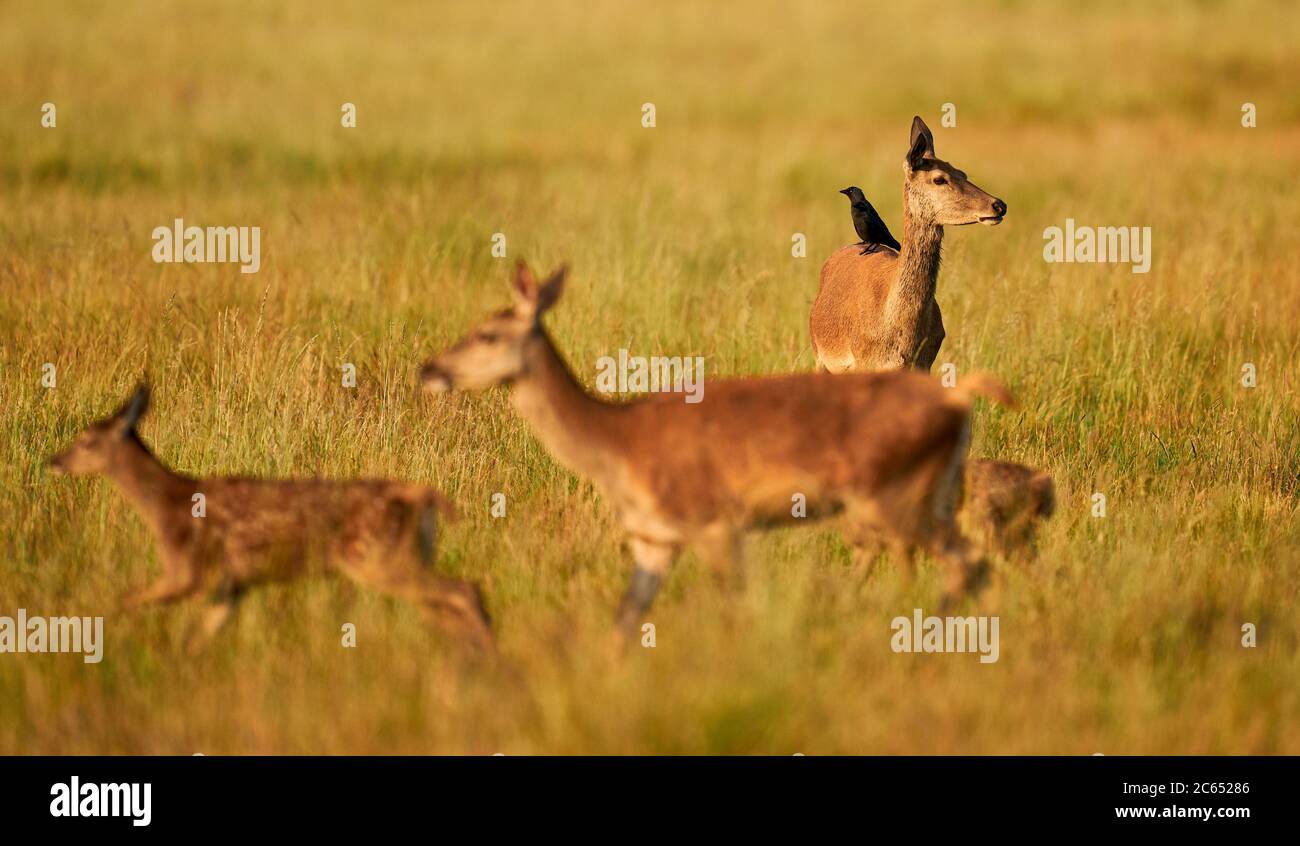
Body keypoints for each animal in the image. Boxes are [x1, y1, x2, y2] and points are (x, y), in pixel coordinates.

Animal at [46, 385, 494, 652]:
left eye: (86, 441)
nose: (54, 460)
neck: (165, 504)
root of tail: (422, 495)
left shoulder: (187, 571)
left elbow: (122, 601)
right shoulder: (230, 585)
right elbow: (197, 637)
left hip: (377, 559)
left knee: (462, 591)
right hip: (406, 557)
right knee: (449, 601)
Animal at [420, 262, 1015, 634]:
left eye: (490, 332)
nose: (430, 369)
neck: (617, 438)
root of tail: (959, 399)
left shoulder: (715, 529)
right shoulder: (654, 542)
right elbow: (623, 624)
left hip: (895, 505)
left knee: (964, 562)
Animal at [810, 116, 1006, 374]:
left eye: (963, 173)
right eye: (939, 179)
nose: (999, 204)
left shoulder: (925, 361)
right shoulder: (862, 361)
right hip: (819, 354)